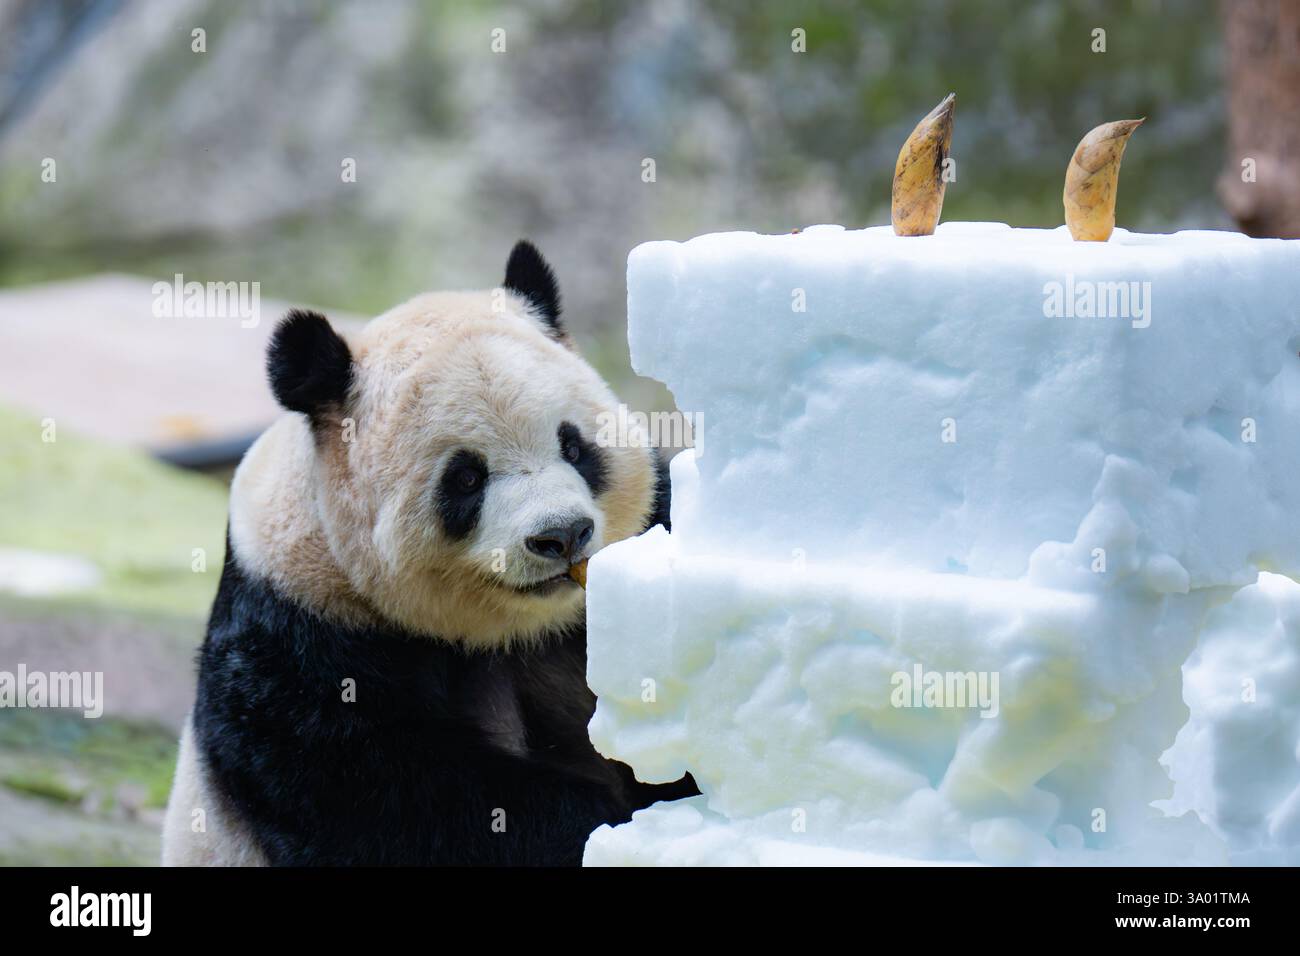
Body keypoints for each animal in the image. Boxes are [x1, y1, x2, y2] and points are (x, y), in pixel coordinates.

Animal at [161, 241, 696, 866]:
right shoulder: (297, 634)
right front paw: (602, 825)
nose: (562, 536)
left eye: (574, 446)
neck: (510, 629)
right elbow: (405, 806)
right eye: (465, 477)